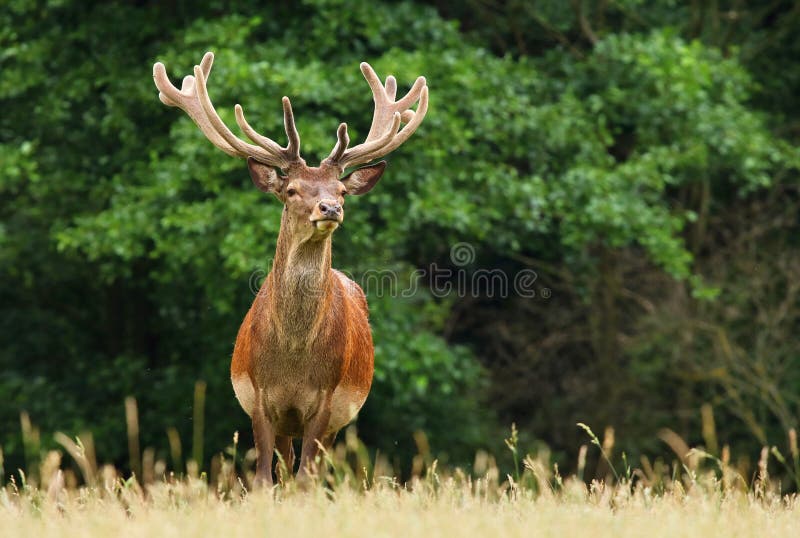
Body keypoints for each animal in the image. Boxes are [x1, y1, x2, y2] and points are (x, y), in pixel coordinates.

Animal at [153, 52, 428, 487]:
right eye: (293, 189)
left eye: (342, 190)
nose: (330, 208)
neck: (294, 359)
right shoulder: (260, 401)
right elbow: (265, 479)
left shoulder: (325, 402)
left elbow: (304, 479)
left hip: (336, 420)